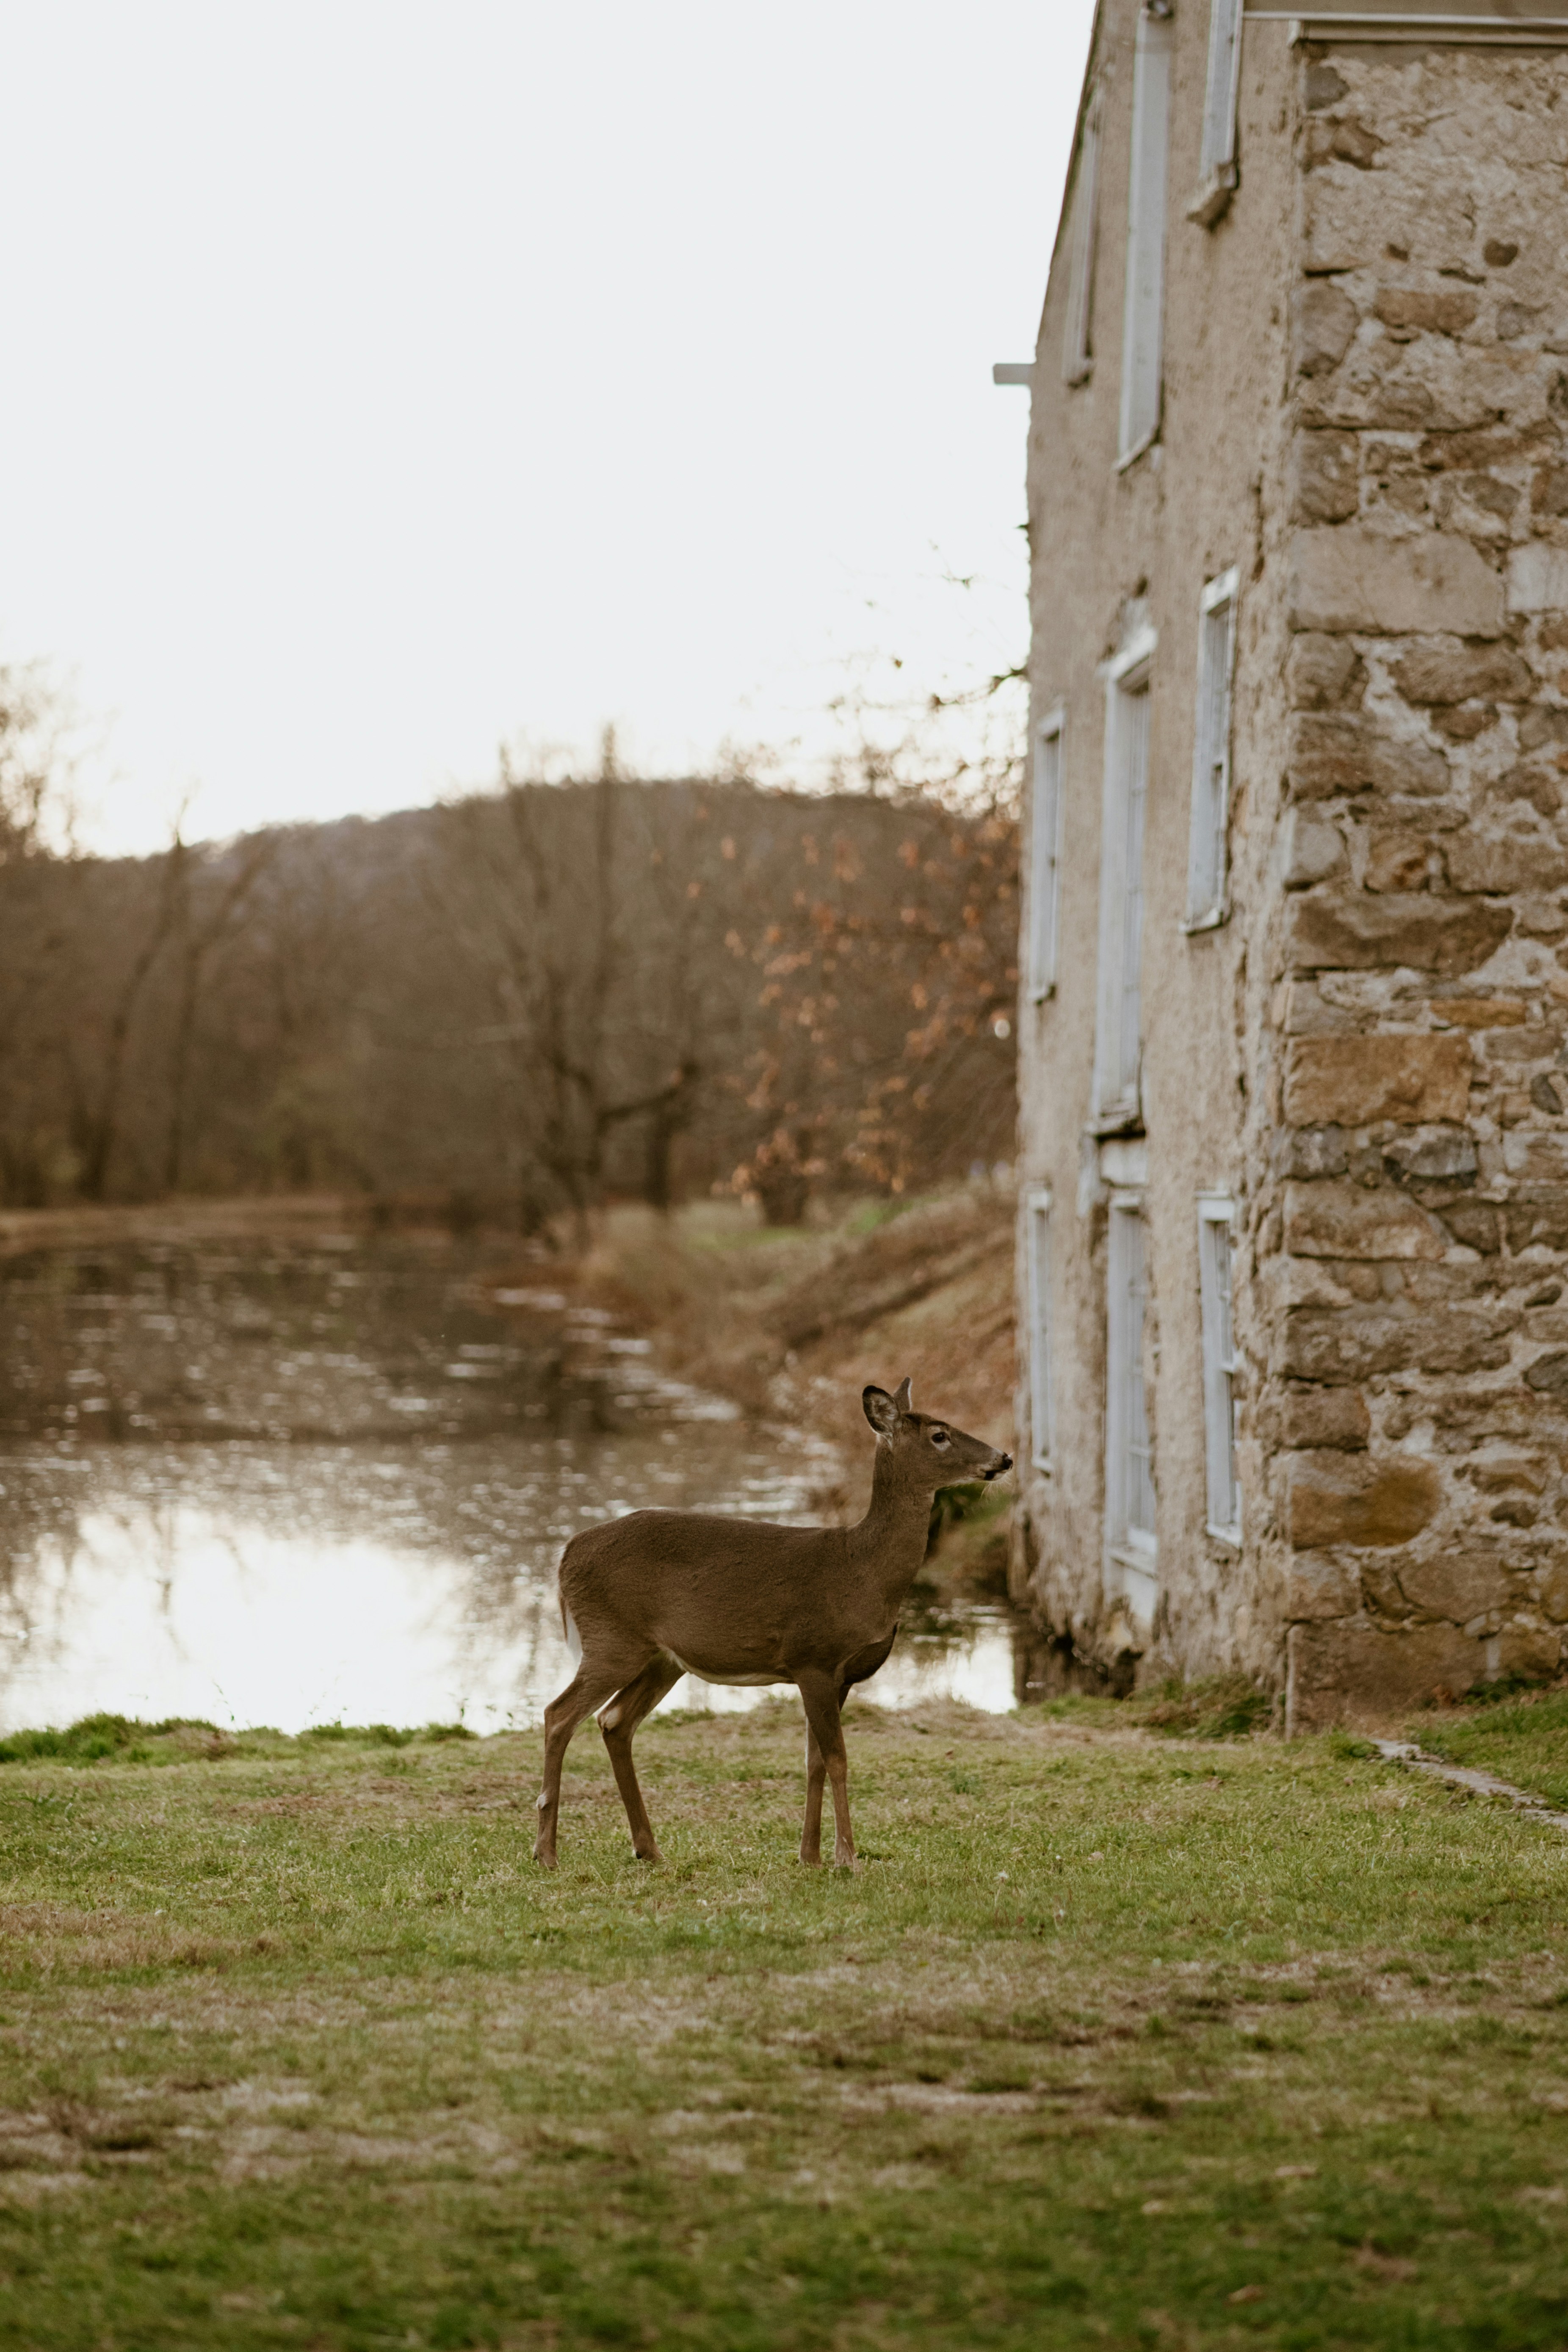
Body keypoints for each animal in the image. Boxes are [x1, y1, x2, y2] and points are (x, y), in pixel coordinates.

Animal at [532, 1377, 1011, 1870]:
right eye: (940, 1435)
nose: (1004, 1458)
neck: (863, 1570)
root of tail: (566, 1552)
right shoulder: (813, 1658)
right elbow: (837, 1759)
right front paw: (847, 1857)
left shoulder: (839, 1676)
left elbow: (814, 1761)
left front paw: (810, 1855)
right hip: (612, 1637)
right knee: (558, 1714)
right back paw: (546, 1852)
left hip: (662, 1659)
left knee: (614, 1720)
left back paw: (648, 1848)